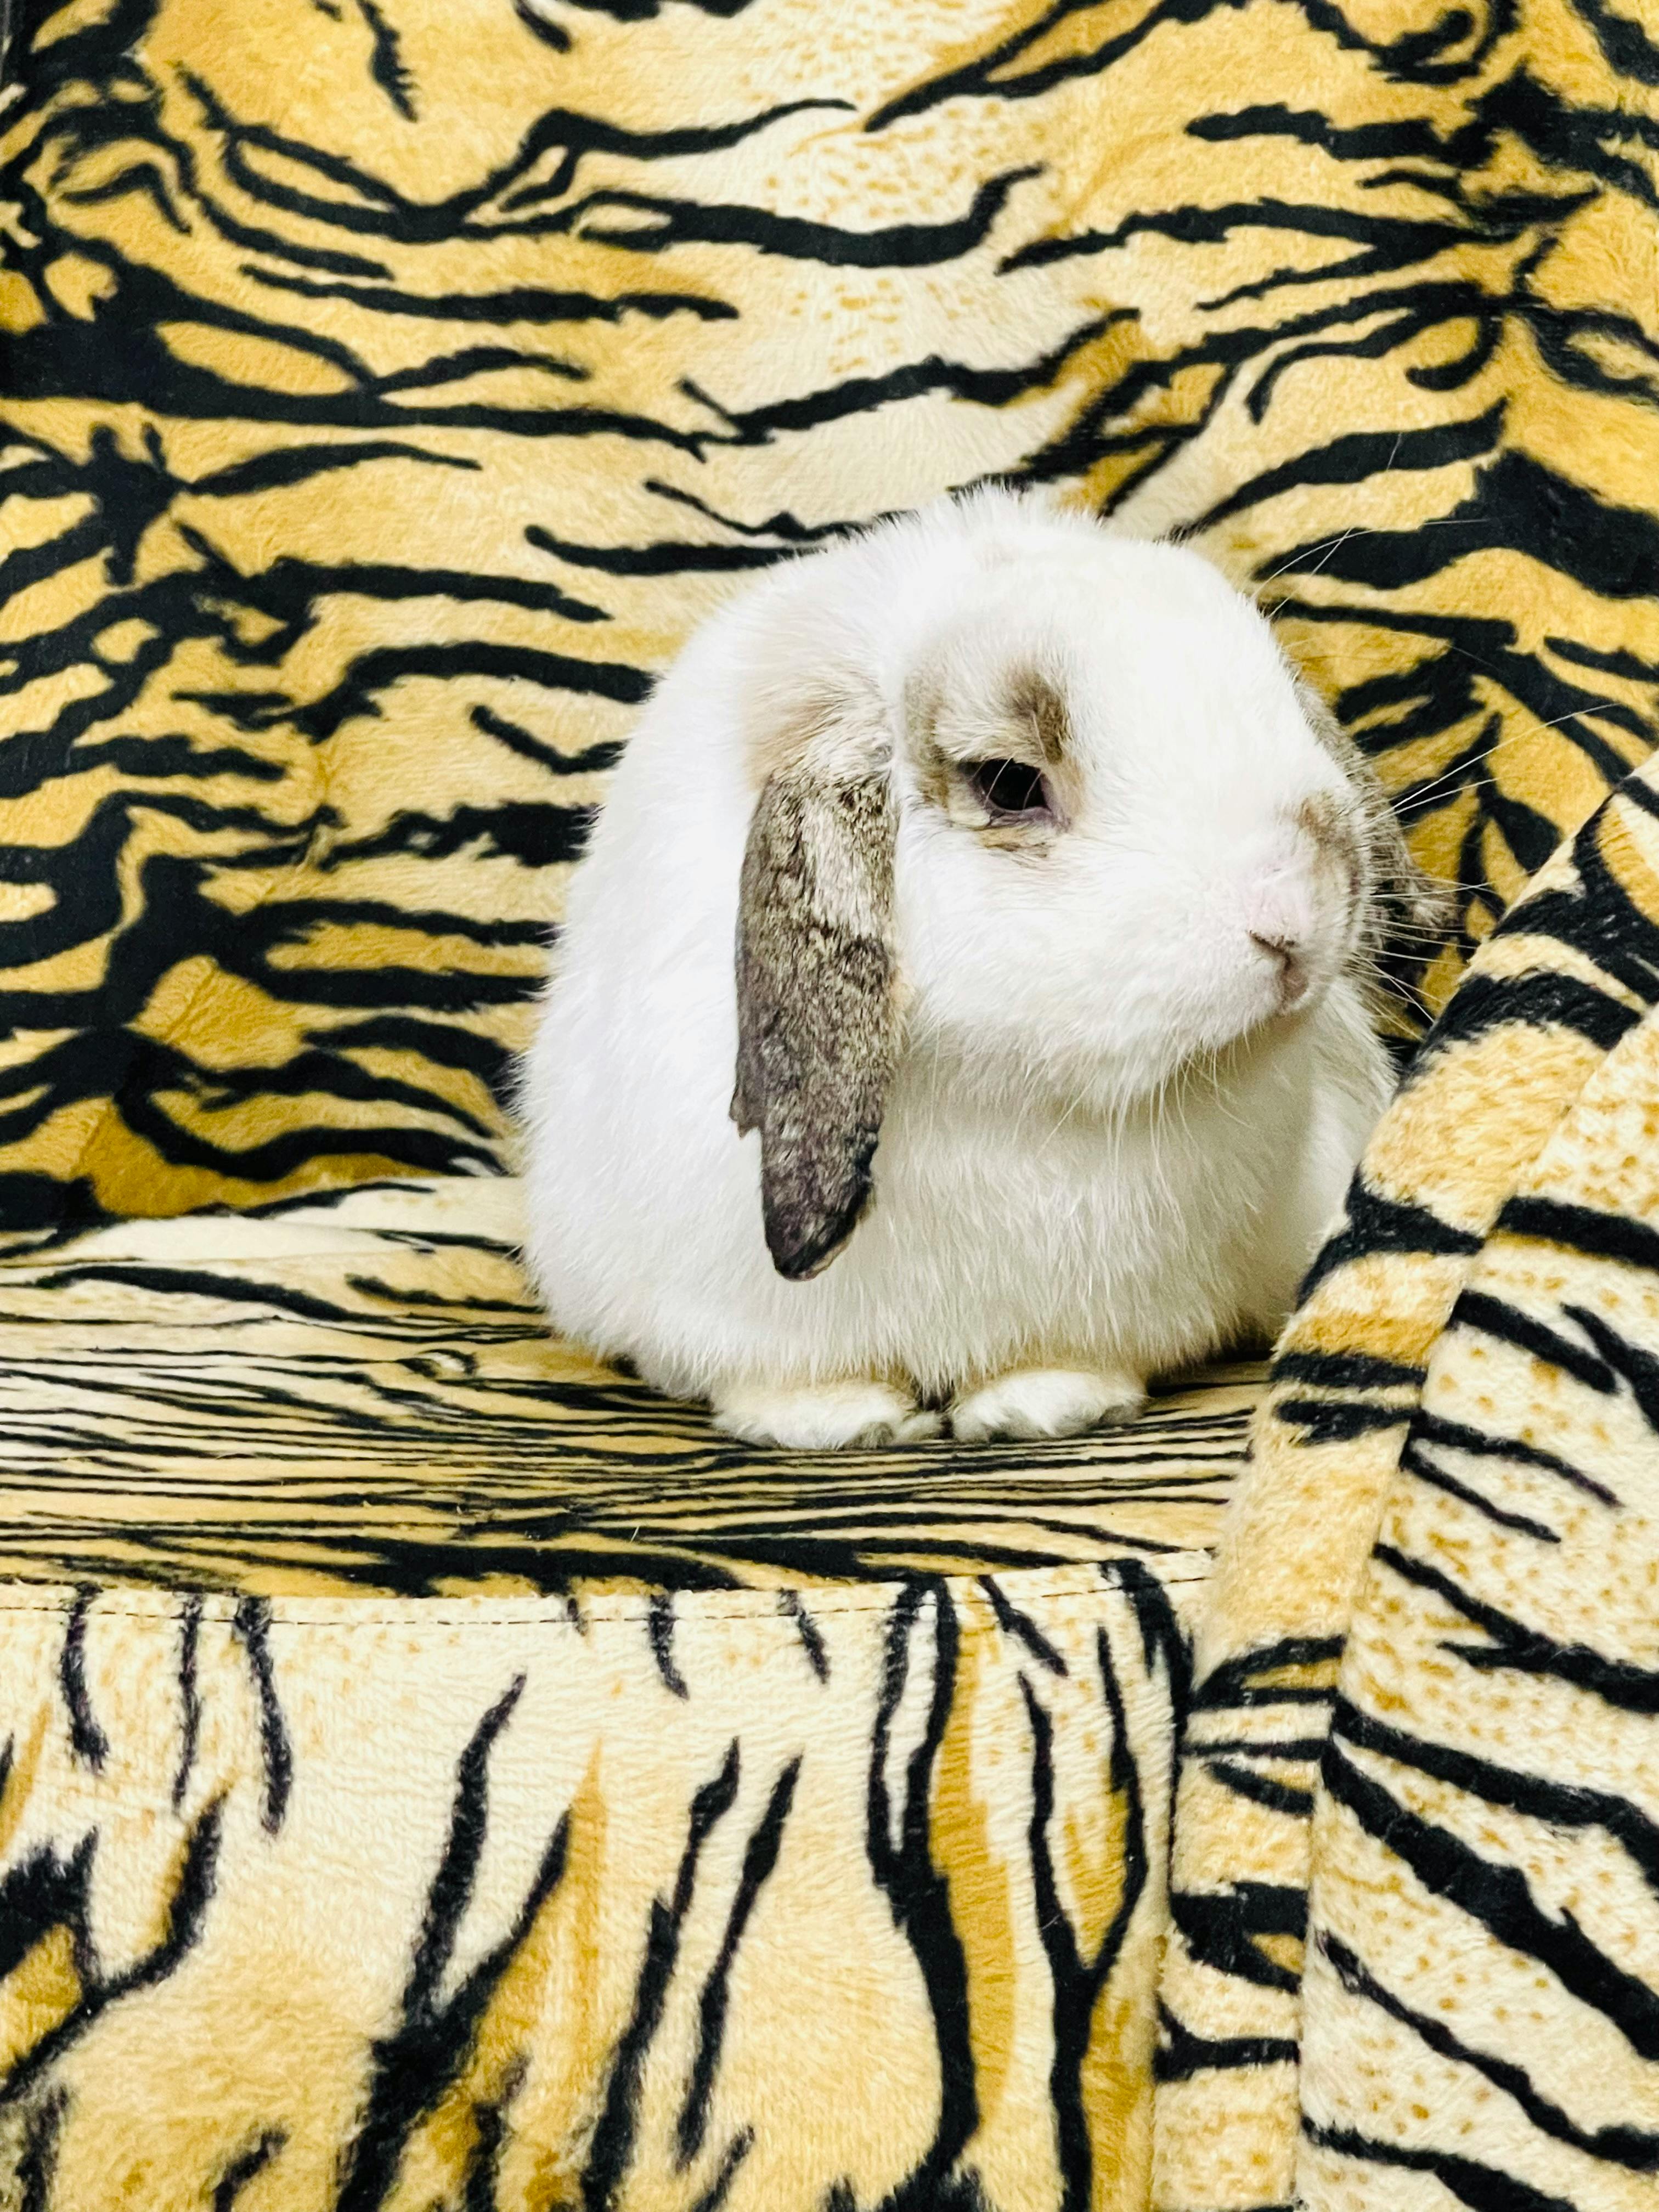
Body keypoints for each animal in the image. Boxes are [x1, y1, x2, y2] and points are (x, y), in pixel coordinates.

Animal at [517, 486, 1441, 1451]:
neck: (1025, 1102)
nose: (1296, 912)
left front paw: (1043, 1405)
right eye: (1008, 783)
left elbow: (1057, 1359)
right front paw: (833, 1421)